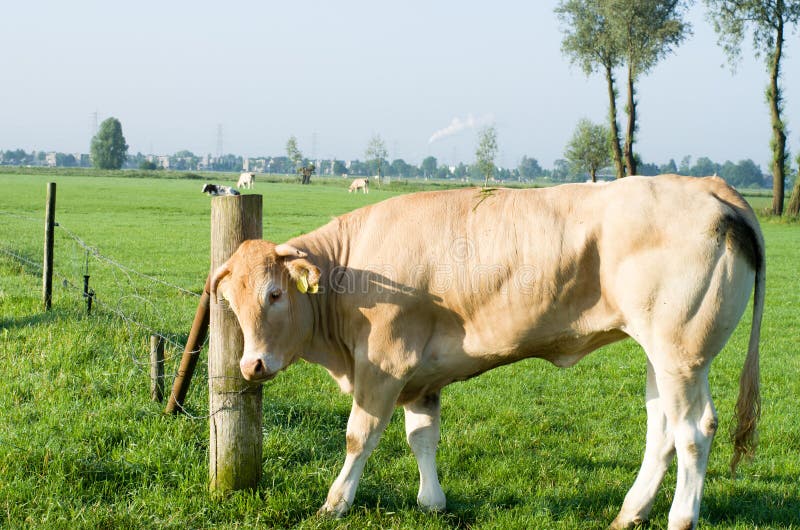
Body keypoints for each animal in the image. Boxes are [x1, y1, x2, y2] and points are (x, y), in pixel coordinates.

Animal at [210, 175, 764, 530]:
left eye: (274, 294)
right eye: (231, 303)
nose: (251, 365)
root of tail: (711, 186)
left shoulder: (384, 362)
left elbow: (359, 436)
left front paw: (334, 504)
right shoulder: (421, 374)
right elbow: (422, 436)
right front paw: (432, 502)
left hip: (680, 353)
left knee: (694, 432)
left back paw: (680, 518)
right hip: (661, 354)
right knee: (662, 431)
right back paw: (629, 514)